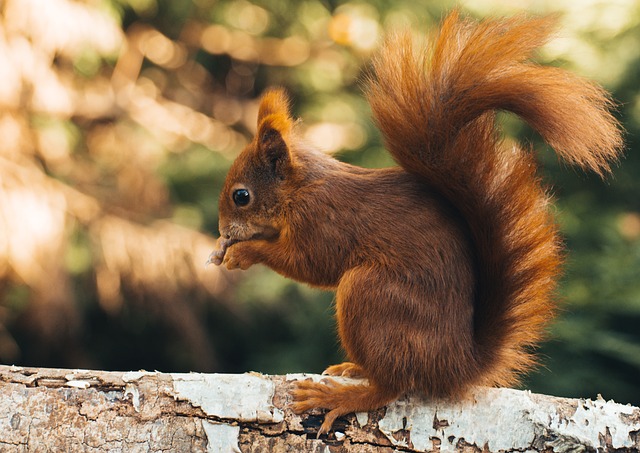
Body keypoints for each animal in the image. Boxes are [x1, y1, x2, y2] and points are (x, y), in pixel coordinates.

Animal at [208, 11, 623, 435]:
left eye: (241, 196)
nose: (223, 232)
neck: (301, 188)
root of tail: (454, 366)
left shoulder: (323, 221)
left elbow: (310, 264)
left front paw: (244, 253)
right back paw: (354, 369)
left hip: (372, 295)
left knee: (393, 384)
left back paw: (344, 397)